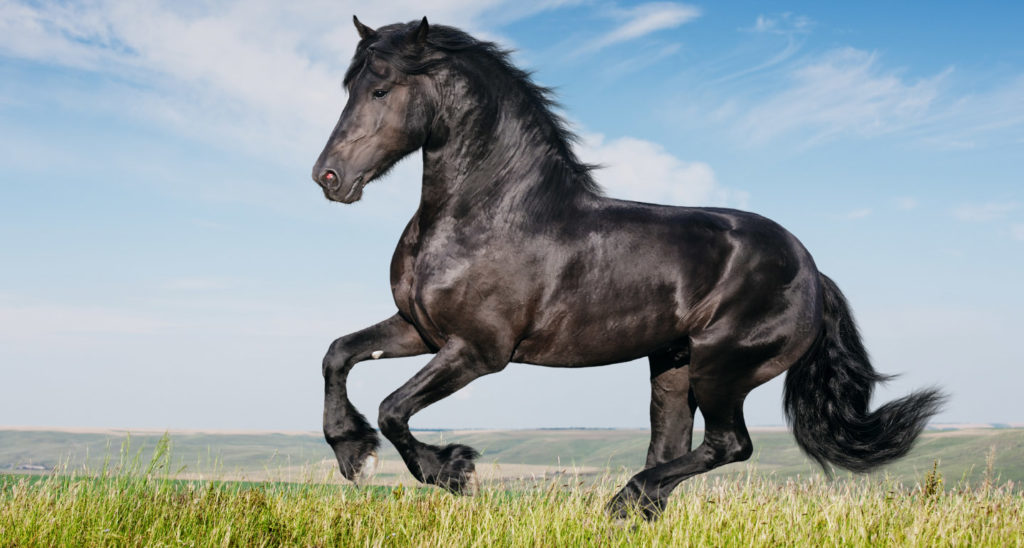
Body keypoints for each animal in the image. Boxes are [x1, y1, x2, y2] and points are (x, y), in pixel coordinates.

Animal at [311, 16, 945, 520]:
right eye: (350, 87)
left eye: (381, 88)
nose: (328, 178)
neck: (489, 213)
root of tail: (813, 272)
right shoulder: (421, 330)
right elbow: (339, 353)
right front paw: (353, 454)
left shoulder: (479, 351)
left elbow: (394, 408)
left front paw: (454, 471)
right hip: (672, 366)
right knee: (674, 447)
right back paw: (635, 508)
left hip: (724, 366)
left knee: (728, 445)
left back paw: (623, 500)